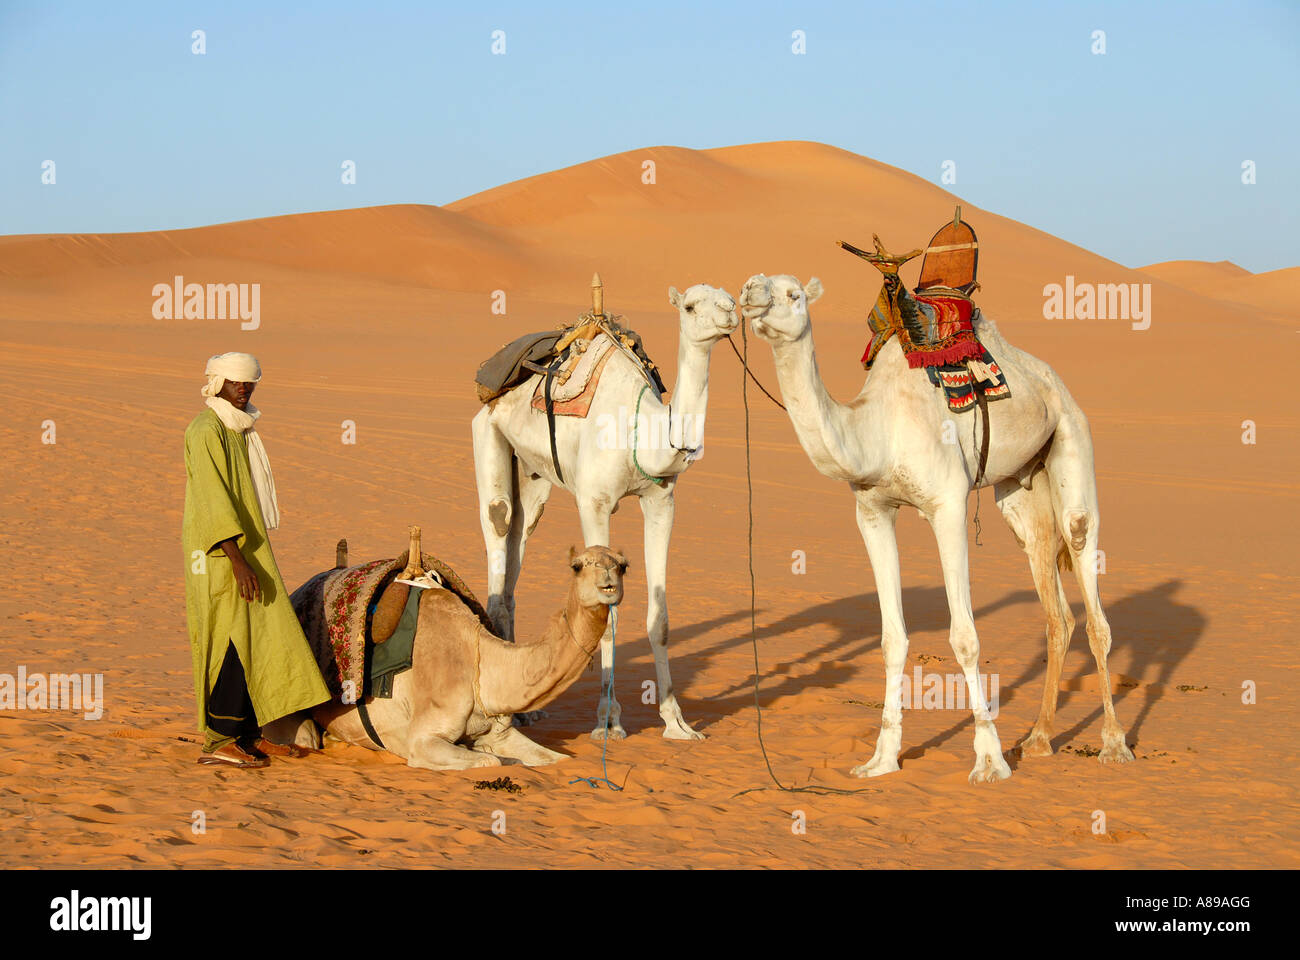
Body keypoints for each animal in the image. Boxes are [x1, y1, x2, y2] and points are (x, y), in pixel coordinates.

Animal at [272, 545, 628, 770]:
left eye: (623, 565)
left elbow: (561, 760)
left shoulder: (498, 731)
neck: (480, 662)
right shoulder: (423, 739)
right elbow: (490, 760)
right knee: (304, 735)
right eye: (578, 566)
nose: (609, 582)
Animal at [471, 279, 739, 741]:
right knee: (498, 527)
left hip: (533, 479)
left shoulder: (662, 502)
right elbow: (607, 616)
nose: (729, 313)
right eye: (689, 306)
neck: (643, 432)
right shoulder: (593, 503)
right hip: (488, 440)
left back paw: (524, 711)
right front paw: (607, 721)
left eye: (727, 296)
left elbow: (660, 618)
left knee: (516, 555)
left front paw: (677, 723)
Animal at [739, 269, 1134, 783]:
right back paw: (1039, 738)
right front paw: (881, 759)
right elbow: (891, 639)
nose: (749, 291)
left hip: (1072, 438)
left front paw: (988, 760)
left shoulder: (947, 504)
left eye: (794, 294)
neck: (878, 429)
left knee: (1087, 567)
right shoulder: (872, 512)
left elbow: (964, 637)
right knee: (1055, 607)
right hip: (1021, 490)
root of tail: (1054, 384)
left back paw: (1113, 744)